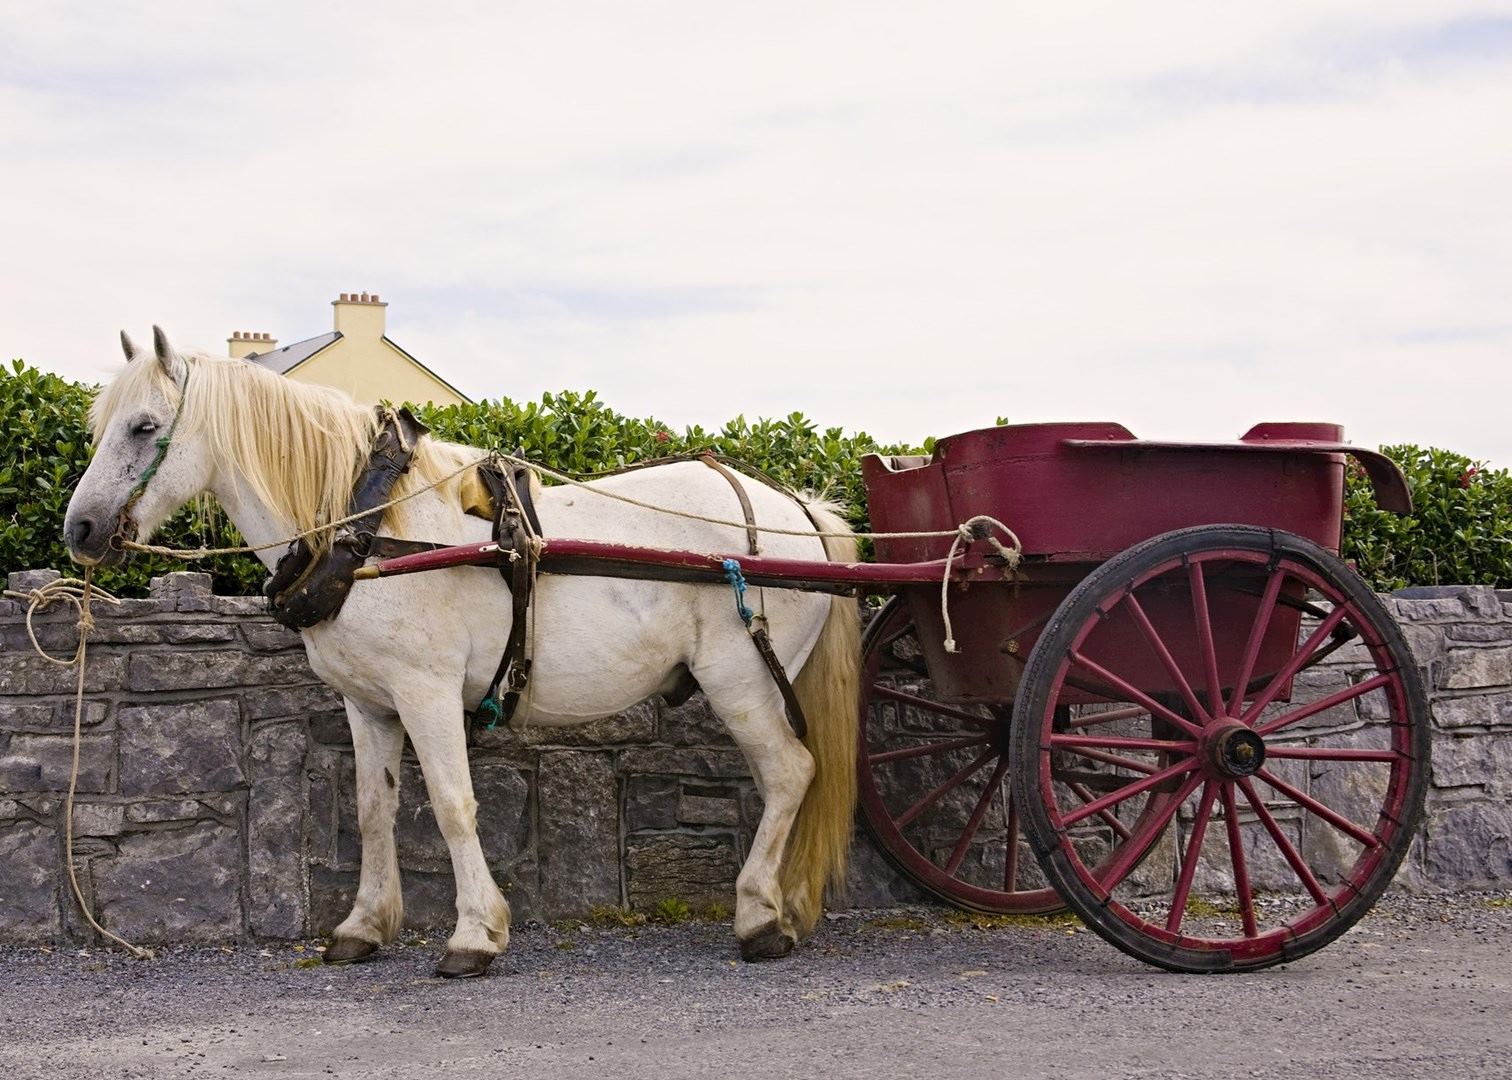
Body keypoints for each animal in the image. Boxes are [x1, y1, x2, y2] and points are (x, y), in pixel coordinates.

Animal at [64, 327, 861, 977]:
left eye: (144, 426)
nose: (81, 529)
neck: (368, 530)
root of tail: (798, 511)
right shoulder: (368, 704)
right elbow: (372, 809)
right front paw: (364, 926)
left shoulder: (427, 691)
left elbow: (452, 805)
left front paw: (476, 934)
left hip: (739, 676)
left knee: (789, 773)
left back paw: (759, 916)